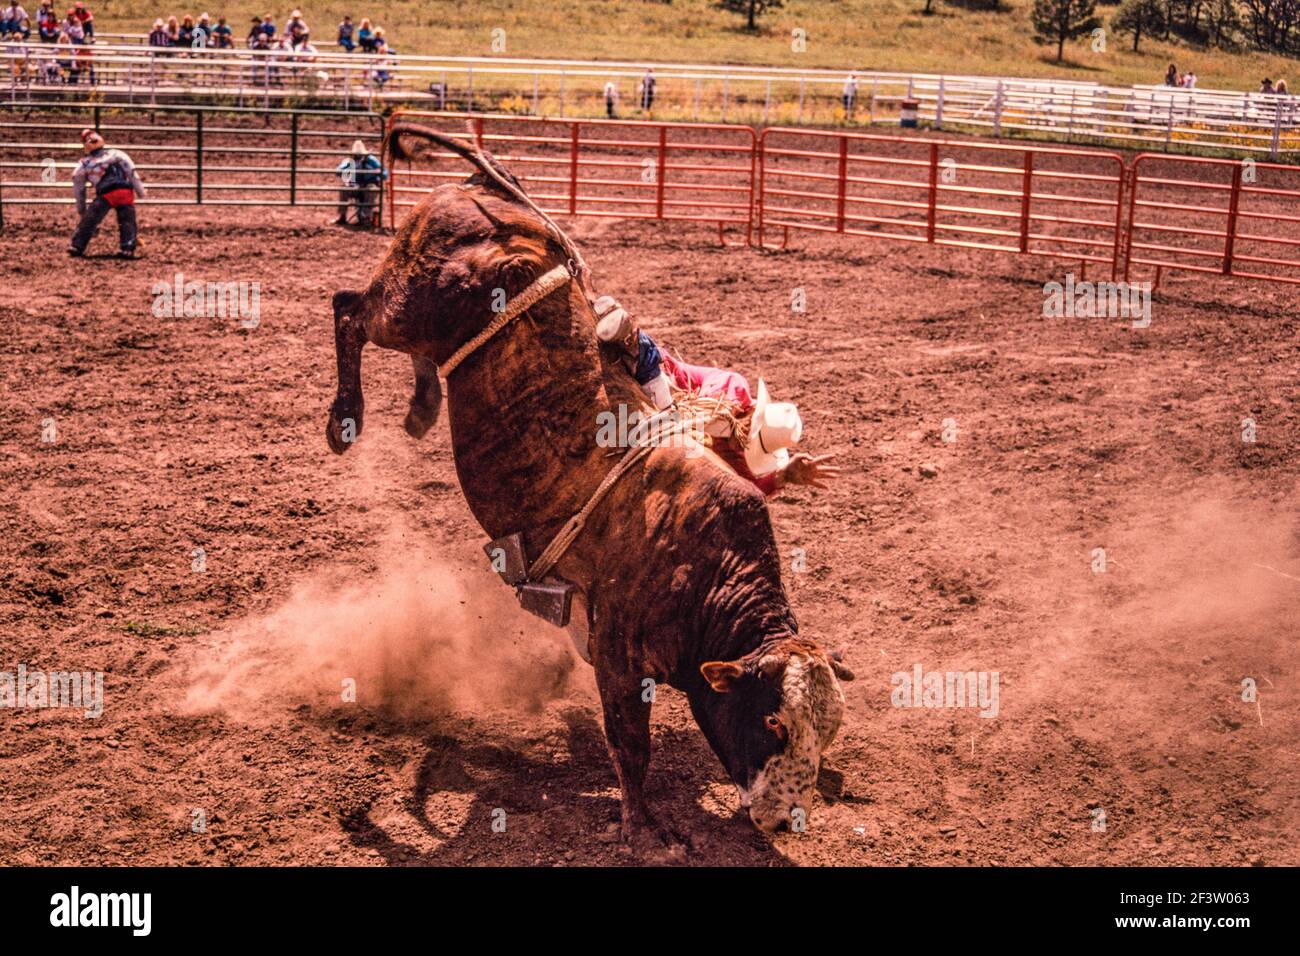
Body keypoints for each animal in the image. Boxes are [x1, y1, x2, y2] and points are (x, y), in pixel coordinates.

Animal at [327, 123, 854, 860]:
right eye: (773, 723)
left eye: (826, 732)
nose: (786, 821)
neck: (703, 562)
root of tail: (501, 207)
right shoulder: (617, 649)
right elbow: (630, 743)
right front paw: (645, 828)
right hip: (409, 303)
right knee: (349, 308)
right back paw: (345, 420)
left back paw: (422, 406)